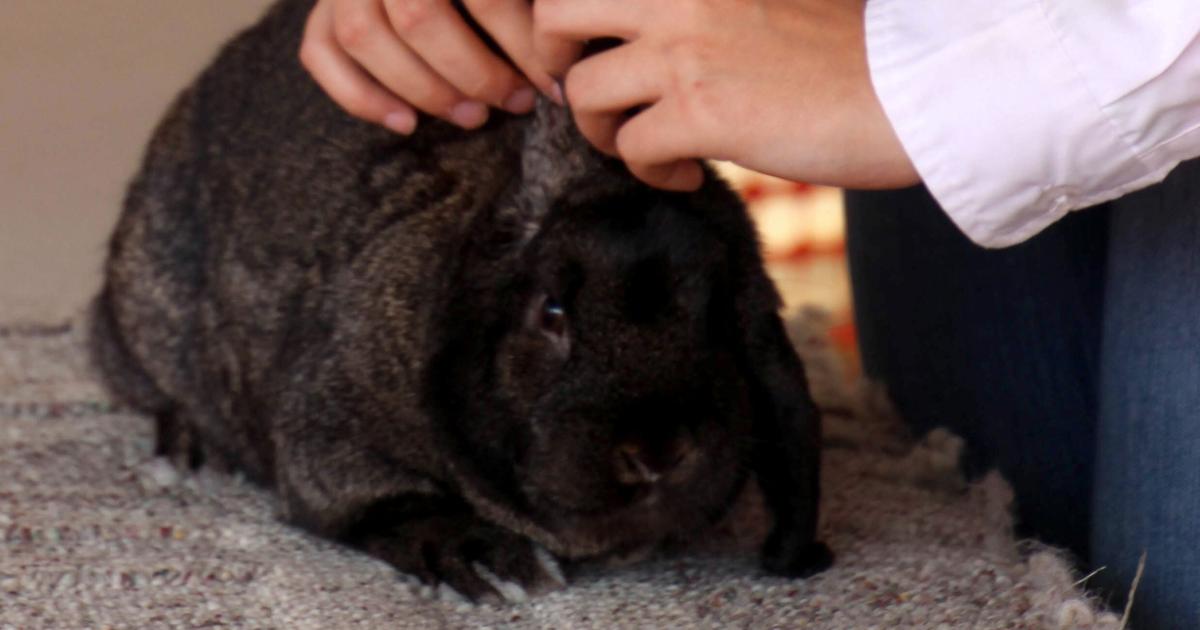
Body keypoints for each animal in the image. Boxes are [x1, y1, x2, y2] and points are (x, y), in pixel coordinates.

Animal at [88, 0, 831, 601]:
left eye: (720, 317)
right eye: (552, 313)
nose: (658, 452)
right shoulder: (333, 432)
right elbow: (376, 504)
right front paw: (490, 563)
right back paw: (191, 451)